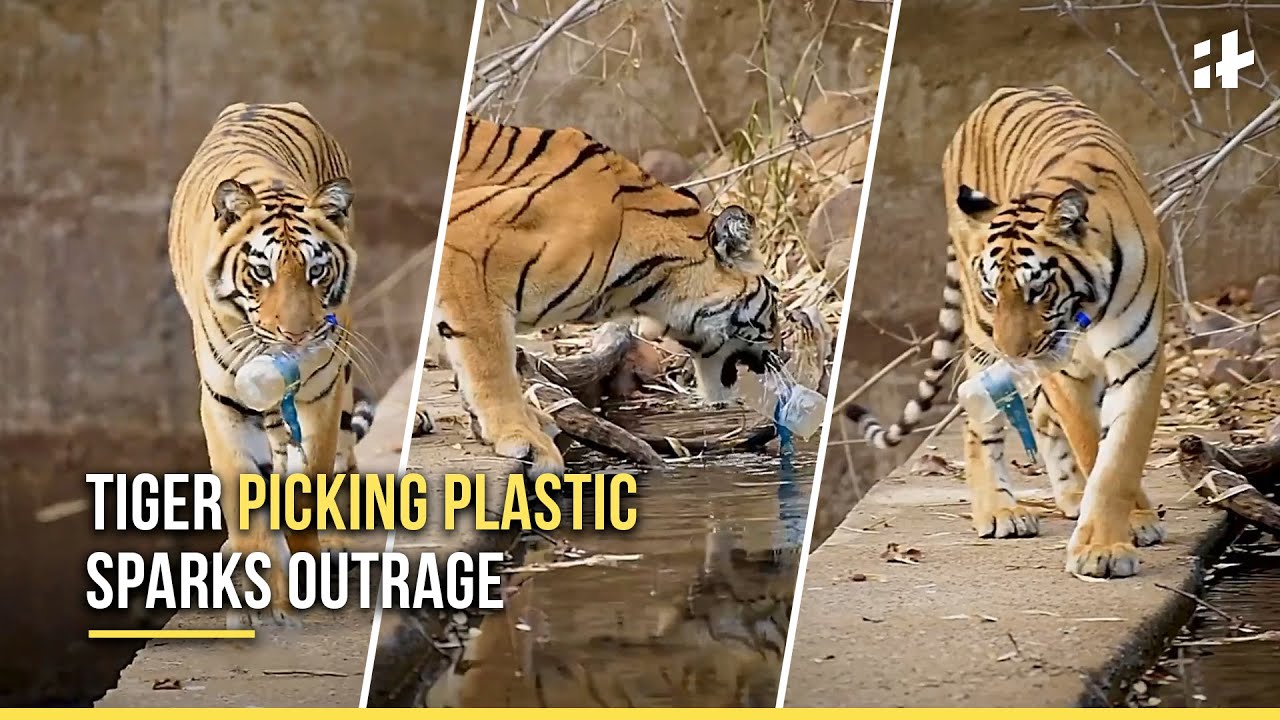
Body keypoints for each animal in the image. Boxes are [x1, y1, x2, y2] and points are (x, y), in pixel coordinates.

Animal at [168, 102, 368, 627]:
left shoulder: (319, 396)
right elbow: (244, 490)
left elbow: (309, 484)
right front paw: (258, 587)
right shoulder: (222, 403)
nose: (296, 335)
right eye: (262, 271)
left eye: (317, 271)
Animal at [845, 86, 1167, 578]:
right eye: (993, 292)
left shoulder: (1138, 360)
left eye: (1038, 290)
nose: (1015, 351)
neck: (1089, 308)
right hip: (980, 340)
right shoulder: (1063, 370)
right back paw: (1000, 511)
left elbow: (1118, 460)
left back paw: (1071, 497)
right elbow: (1093, 446)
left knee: (1041, 417)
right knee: (979, 420)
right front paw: (1108, 542)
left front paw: (1111, 538)